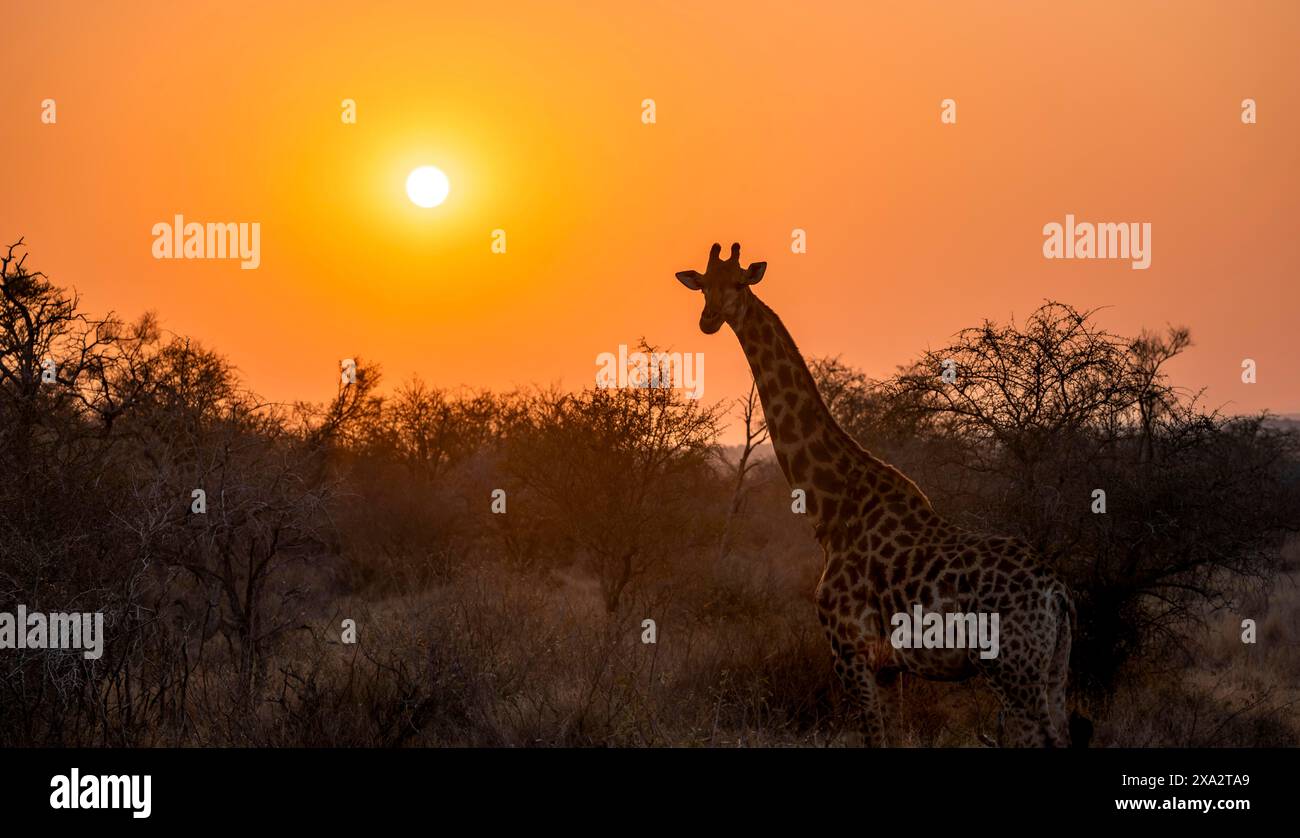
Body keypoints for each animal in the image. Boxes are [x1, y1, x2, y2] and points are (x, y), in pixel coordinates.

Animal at [675, 242, 1087, 747]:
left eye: (738, 283)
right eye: (704, 286)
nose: (709, 319)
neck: (831, 506)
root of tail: (1058, 595)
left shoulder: (850, 652)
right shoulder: (890, 667)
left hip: (1011, 670)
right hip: (1054, 670)